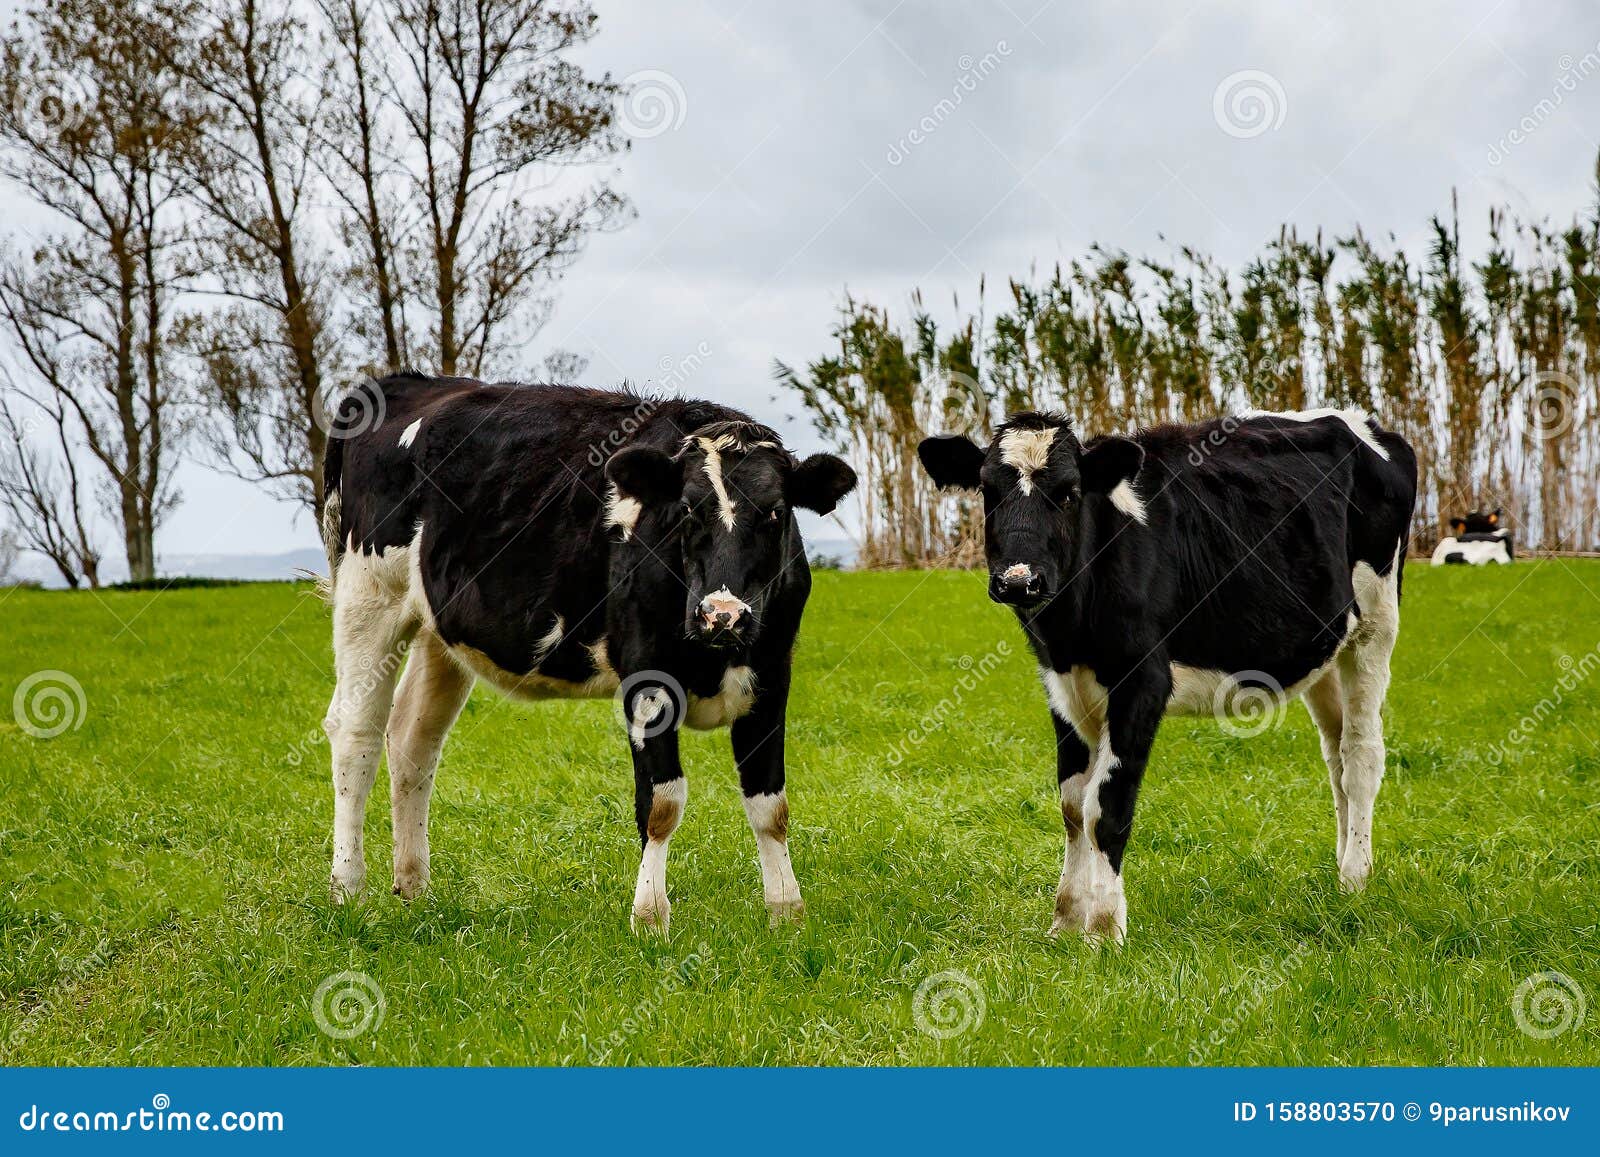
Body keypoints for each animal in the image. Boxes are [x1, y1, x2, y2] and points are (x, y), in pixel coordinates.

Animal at [318, 373, 856, 936]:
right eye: (687, 510)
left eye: (775, 512)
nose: (723, 614)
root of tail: (407, 382)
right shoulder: (647, 678)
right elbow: (661, 803)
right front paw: (650, 917)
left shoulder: (772, 676)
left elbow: (769, 804)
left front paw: (786, 912)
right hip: (368, 595)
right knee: (356, 735)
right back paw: (349, 889)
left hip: (437, 629)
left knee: (413, 739)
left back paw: (415, 888)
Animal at [917, 408, 1417, 943]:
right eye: (989, 491)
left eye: (1068, 492)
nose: (1019, 581)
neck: (1072, 628)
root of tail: (1361, 422)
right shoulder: (1061, 684)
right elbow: (1072, 806)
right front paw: (1065, 922)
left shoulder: (1143, 682)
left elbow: (1106, 807)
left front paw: (1103, 930)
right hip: (1325, 647)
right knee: (1335, 757)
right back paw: (1340, 868)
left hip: (1375, 627)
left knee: (1361, 756)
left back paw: (1355, 880)